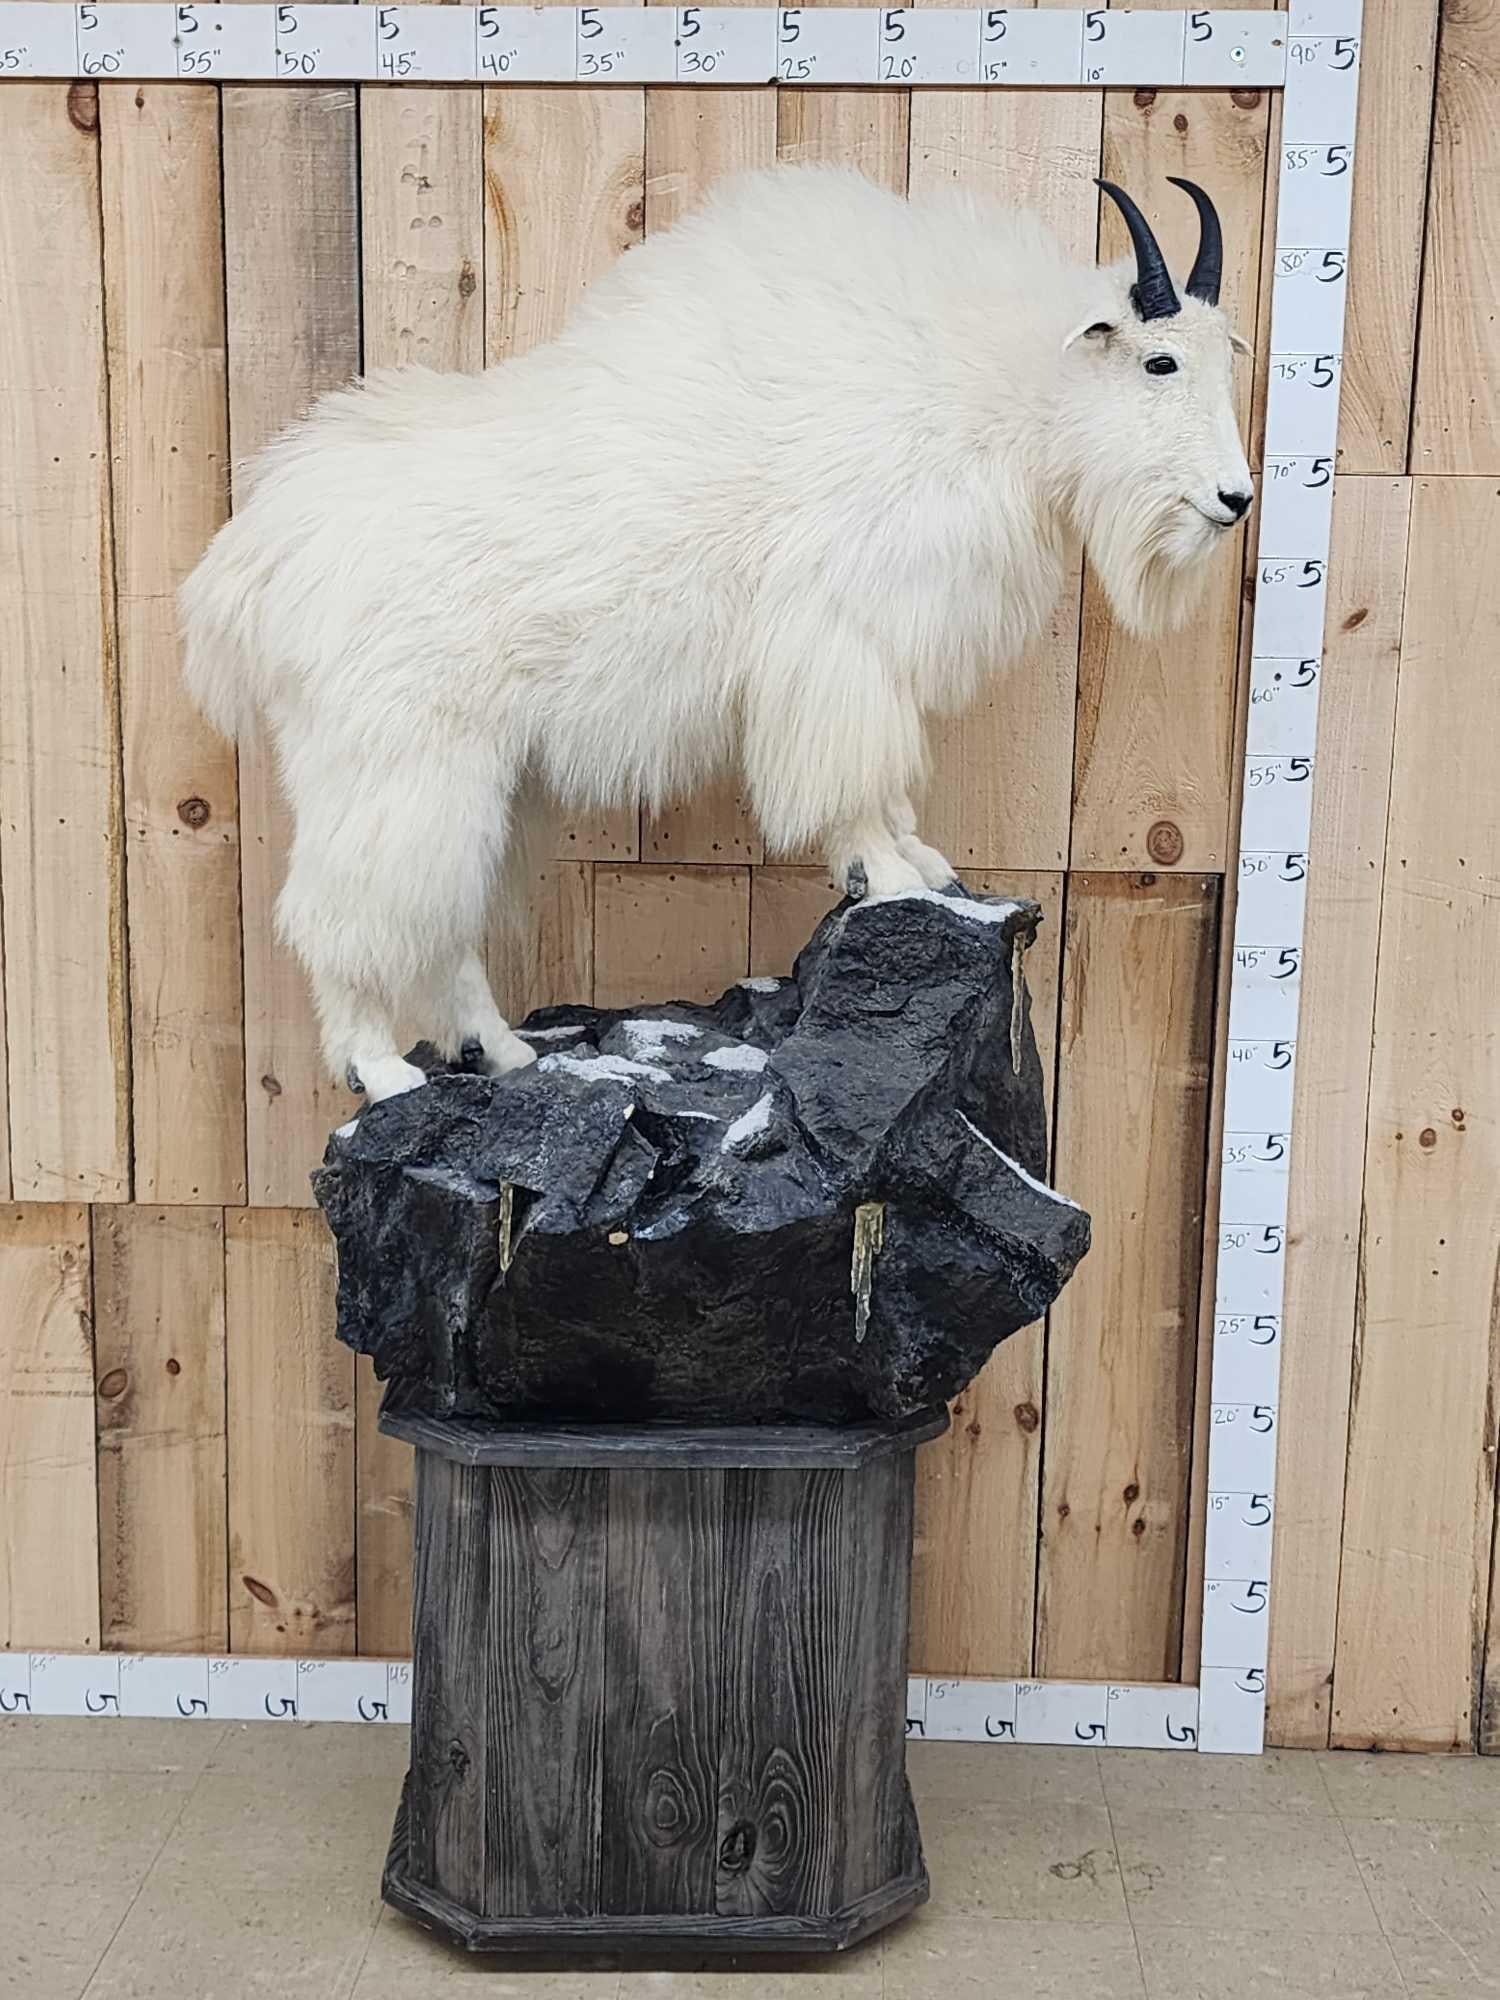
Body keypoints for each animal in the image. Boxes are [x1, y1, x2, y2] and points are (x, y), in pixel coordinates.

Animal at [181, 166, 1253, 1103]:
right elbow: (856, 780)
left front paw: (925, 863)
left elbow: (892, 780)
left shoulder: (875, 656)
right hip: (394, 762)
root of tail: (251, 570)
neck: (984, 391)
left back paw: (501, 1052)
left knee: (443, 923)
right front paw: (889, 876)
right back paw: (381, 1068)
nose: (1233, 499)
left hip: (481, 781)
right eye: (1160, 360)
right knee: (348, 915)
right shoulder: (839, 644)